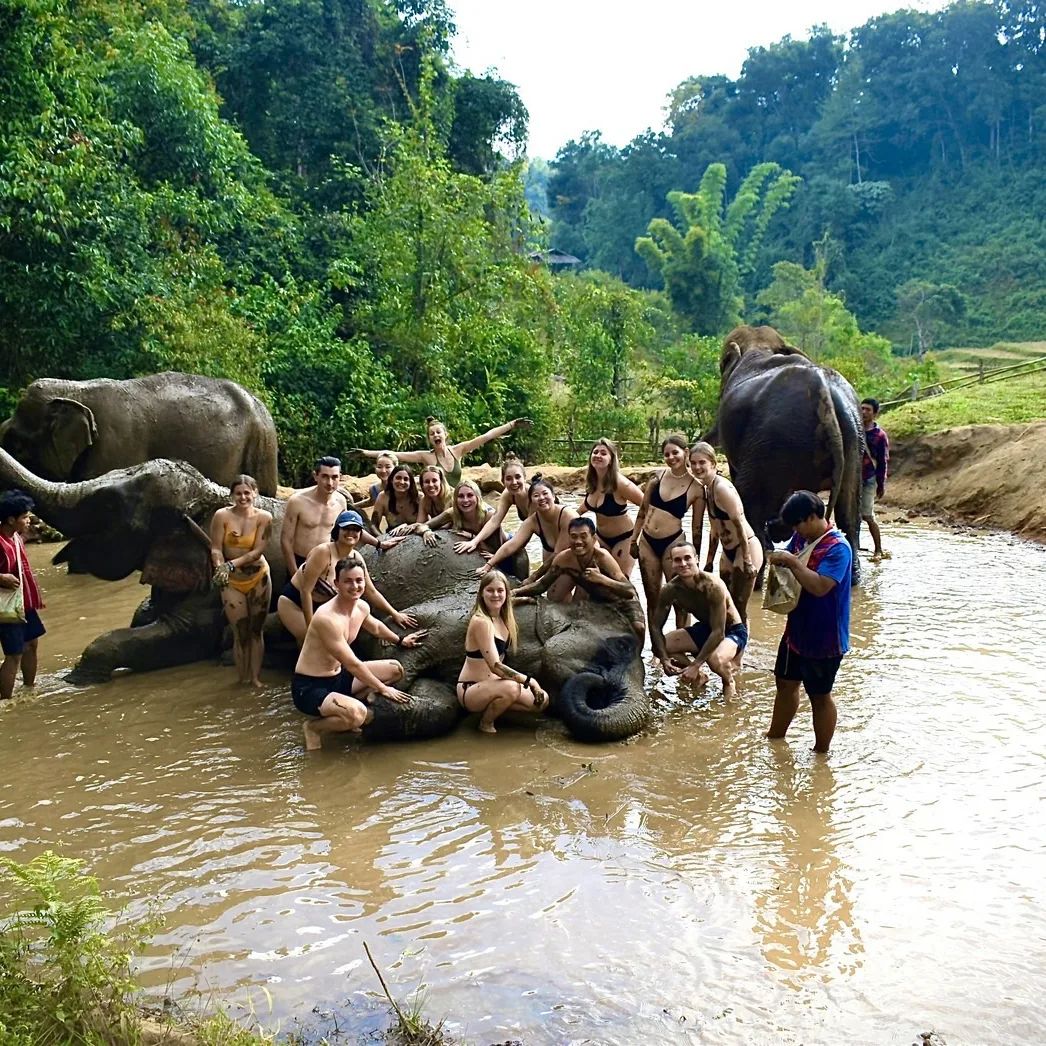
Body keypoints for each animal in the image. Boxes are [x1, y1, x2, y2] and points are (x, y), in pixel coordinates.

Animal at [711, 325, 863, 582]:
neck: (759, 347)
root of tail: (823, 393)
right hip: (853, 438)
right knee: (849, 515)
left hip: (772, 440)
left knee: (750, 504)